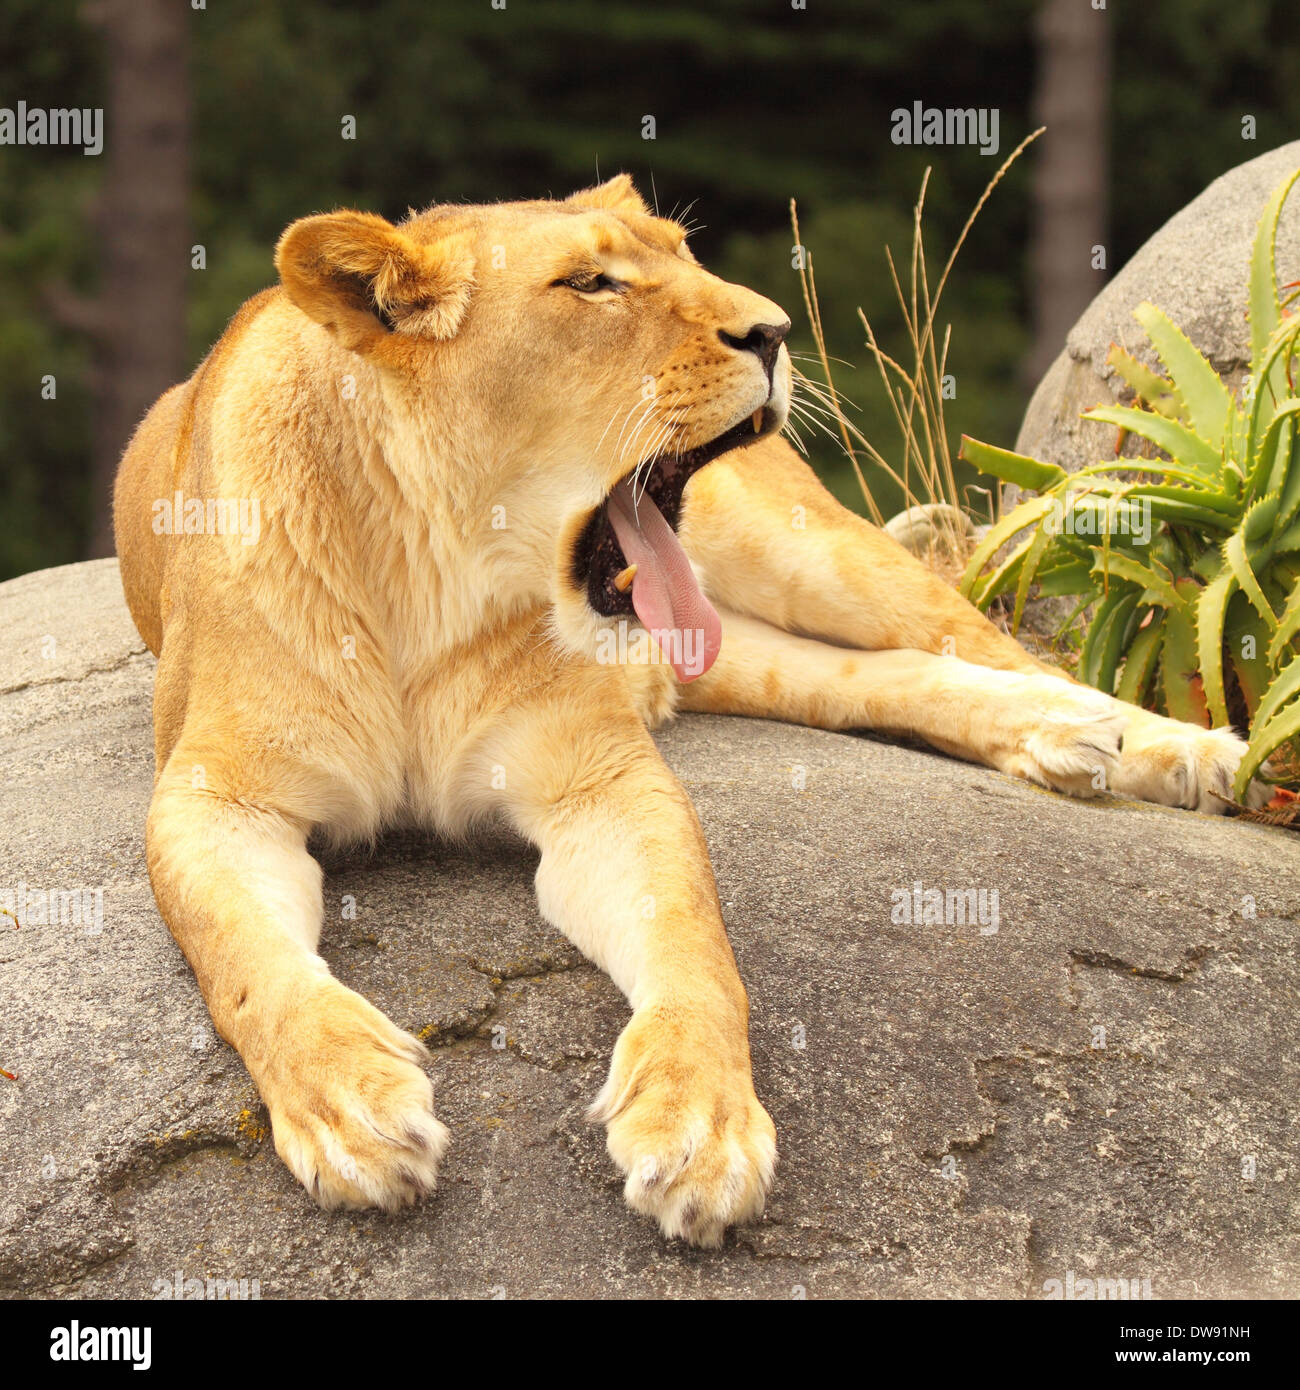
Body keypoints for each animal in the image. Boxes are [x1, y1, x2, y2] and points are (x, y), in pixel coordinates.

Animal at [113, 175, 1265, 1247]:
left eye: (682, 254)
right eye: (591, 283)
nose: (775, 330)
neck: (433, 574)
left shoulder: (603, 781)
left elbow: (692, 940)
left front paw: (701, 1122)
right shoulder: (216, 796)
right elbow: (246, 960)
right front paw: (351, 1104)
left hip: (802, 550)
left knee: (979, 638)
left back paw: (1165, 746)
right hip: (734, 651)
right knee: (890, 673)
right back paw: (1066, 737)